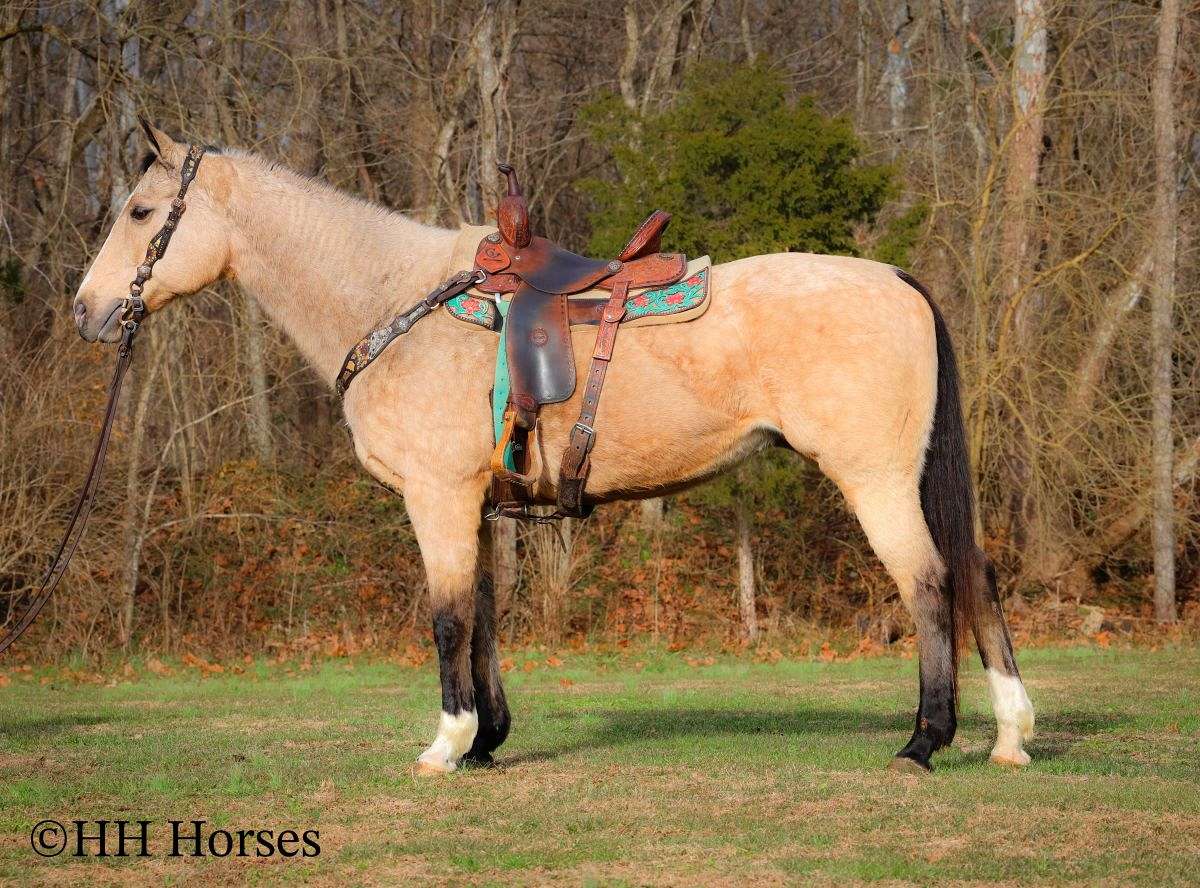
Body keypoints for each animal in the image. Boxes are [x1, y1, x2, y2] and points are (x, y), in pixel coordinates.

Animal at [73, 123, 1034, 774]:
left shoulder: (437, 496)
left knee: (929, 583)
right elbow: (483, 616)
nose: (86, 311)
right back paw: (1010, 734)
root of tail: (898, 280)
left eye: (141, 211)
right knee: (975, 574)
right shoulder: (474, 503)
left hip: (876, 480)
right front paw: (487, 741)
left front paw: (447, 744)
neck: (393, 301)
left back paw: (924, 740)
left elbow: (447, 617)